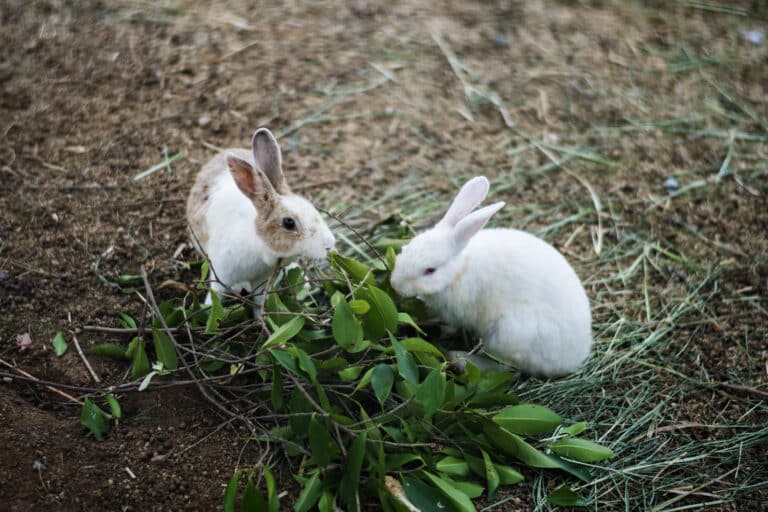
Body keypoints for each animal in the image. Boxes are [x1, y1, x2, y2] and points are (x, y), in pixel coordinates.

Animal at [186, 127, 335, 305]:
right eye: (289, 223)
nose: (329, 245)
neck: (259, 244)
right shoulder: (221, 274)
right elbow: (214, 296)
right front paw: (207, 308)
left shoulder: (262, 281)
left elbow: (259, 302)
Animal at [389, 176, 592, 377]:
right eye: (405, 248)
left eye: (430, 270)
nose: (394, 283)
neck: (459, 269)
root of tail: (574, 360)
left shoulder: (455, 314)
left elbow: (450, 326)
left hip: (507, 336)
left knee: (507, 369)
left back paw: (459, 358)